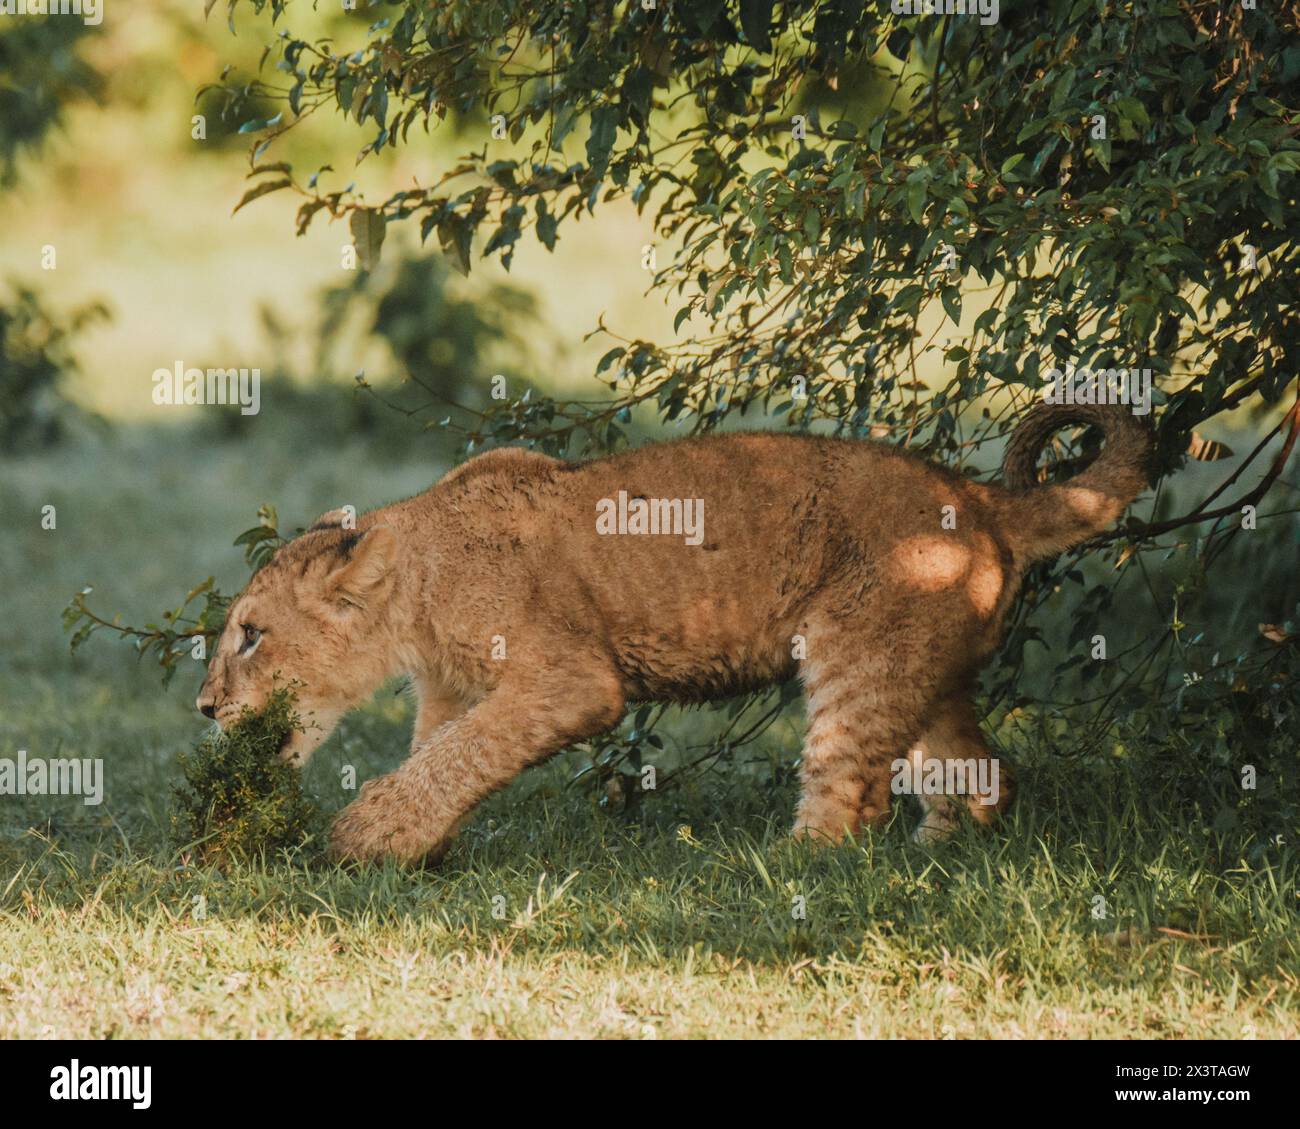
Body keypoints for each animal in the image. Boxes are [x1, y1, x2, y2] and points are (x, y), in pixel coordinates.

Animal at [195, 403, 1152, 864]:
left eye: (249, 635)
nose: (204, 708)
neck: (418, 585)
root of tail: (983, 499)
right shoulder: (456, 689)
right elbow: (438, 758)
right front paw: (413, 847)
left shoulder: (571, 680)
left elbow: (454, 758)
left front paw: (360, 839)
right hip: (923, 673)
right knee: (982, 775)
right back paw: (943, 853)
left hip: (856, 656)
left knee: (852, 800)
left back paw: (784, 870)